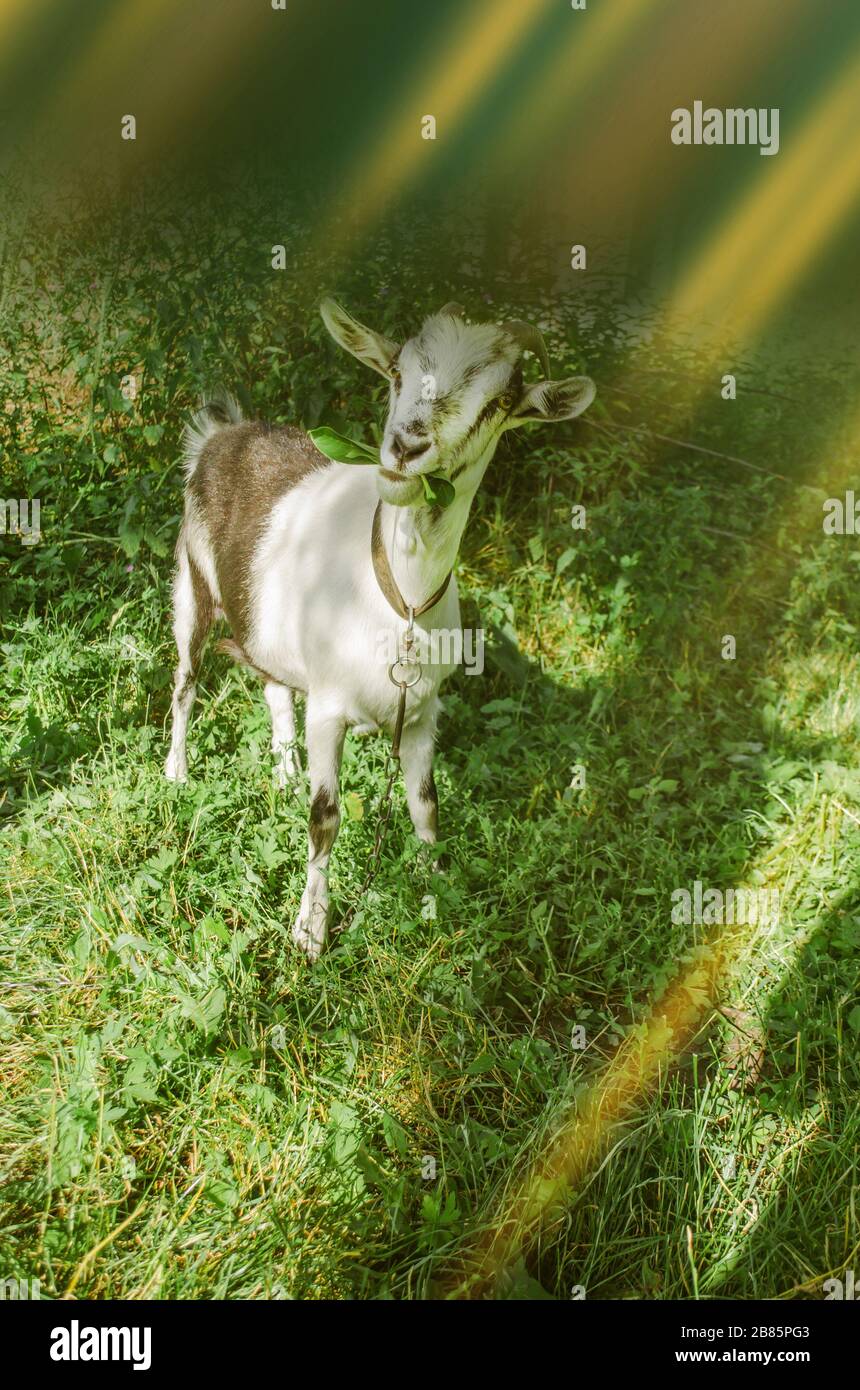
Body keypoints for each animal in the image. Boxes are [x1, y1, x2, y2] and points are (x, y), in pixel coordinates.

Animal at [165, 299, 595, 960]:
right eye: (396, 371)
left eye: (499, 401)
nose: (405, 447)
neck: (399, 602)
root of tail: (224, 433)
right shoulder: (329, 709)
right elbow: (325, 817)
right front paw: (311, 930)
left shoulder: (420, 714)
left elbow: (425, 808)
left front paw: (434, 890)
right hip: (192, 579)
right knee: (185, 679)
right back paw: (178, 774)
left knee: (272, 684)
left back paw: (284, 771)